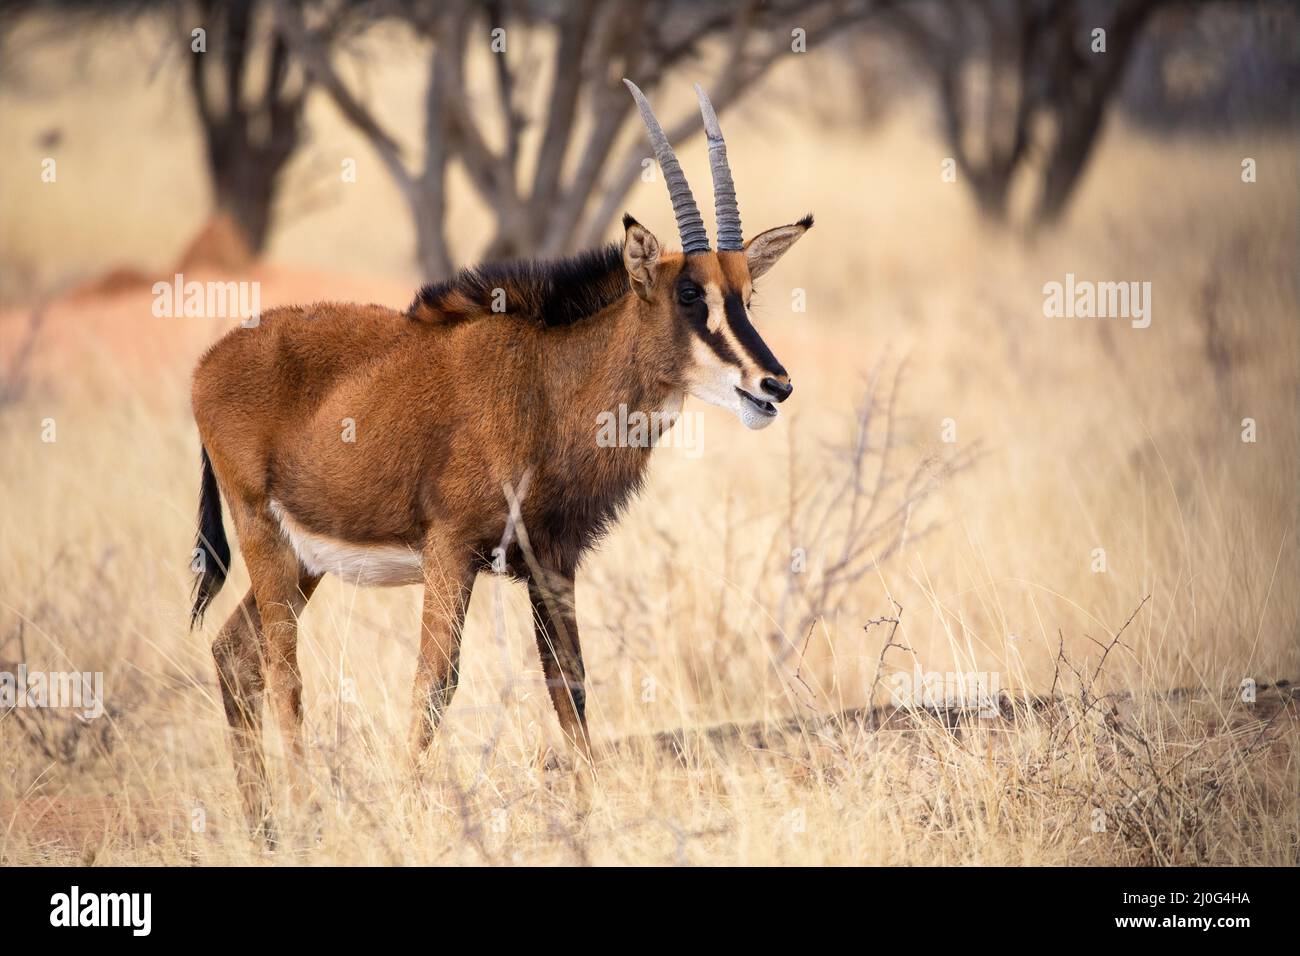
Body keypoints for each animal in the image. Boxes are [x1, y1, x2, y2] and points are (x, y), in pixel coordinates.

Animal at [189, 80, 811, 829]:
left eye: (747, 294)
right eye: (689, 293)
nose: (774, 384)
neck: (546, 383)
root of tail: (208, 363)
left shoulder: (553, 561)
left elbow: (569, 684)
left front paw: (592, 812)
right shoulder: (450, 550)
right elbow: (436, 681)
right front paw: (409, 808)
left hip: (303, 558)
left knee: (235, 653)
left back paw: (266, 831)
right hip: (263, 533)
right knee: (283, 670)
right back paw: (305, 812)